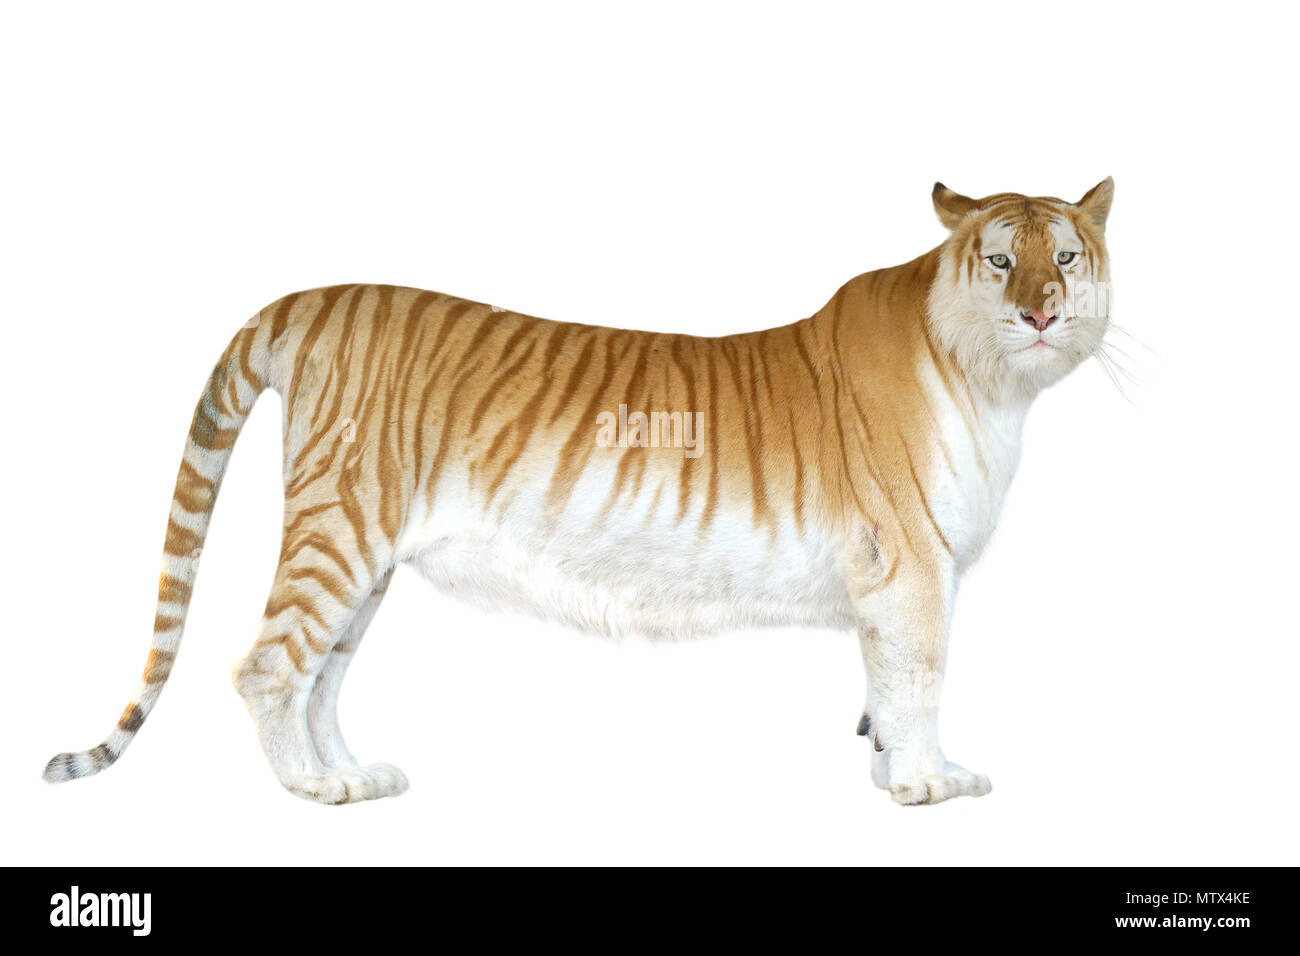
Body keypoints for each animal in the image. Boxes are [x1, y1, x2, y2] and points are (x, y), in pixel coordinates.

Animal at [44, 178, 1114, 806]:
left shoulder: (887, 584)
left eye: (1065, 255)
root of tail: (307, 299)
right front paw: (935, 785)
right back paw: (314, 791)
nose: (1041, 312)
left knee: (321, 677)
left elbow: (884, 686)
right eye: (999, 258)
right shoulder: (915, 567)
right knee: (268, 667)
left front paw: (891, 771)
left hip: (363, 561)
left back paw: (354, 774)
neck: (992, 381)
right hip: (337, 535)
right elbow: (921, 678)